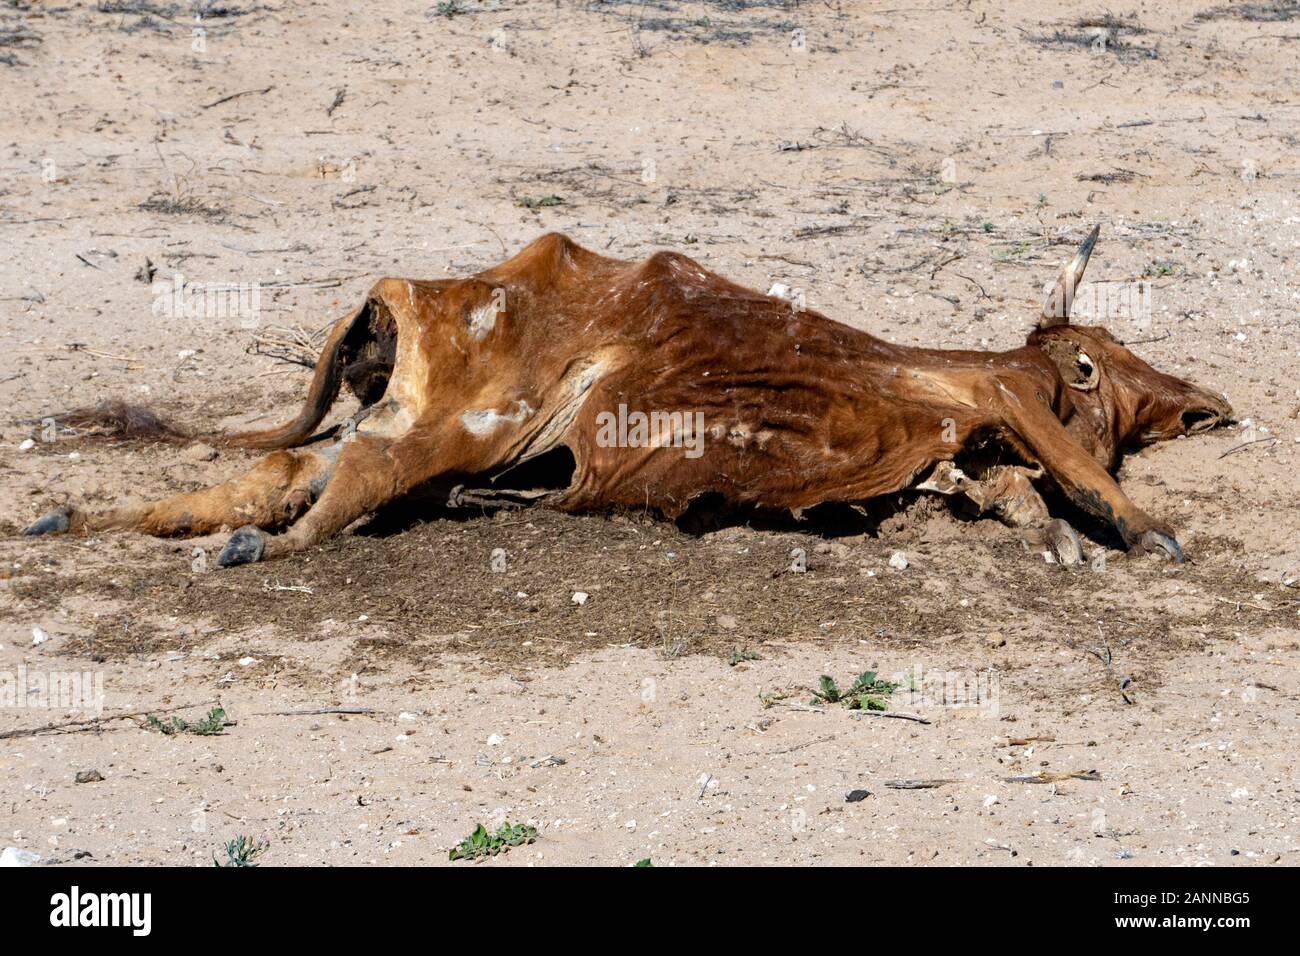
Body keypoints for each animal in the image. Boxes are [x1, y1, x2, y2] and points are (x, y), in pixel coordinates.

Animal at [21, 227, 1231, 568]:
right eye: (1090, 366)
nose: (1187, 406)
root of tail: (397, 291)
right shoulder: (983, 390)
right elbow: (1065, 475)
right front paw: (1143, 530)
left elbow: (1011, 492)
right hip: (461, 426)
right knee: (346, 474)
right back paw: (259, 550)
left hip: (438, 431)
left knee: (285, 464)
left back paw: (102, 520)